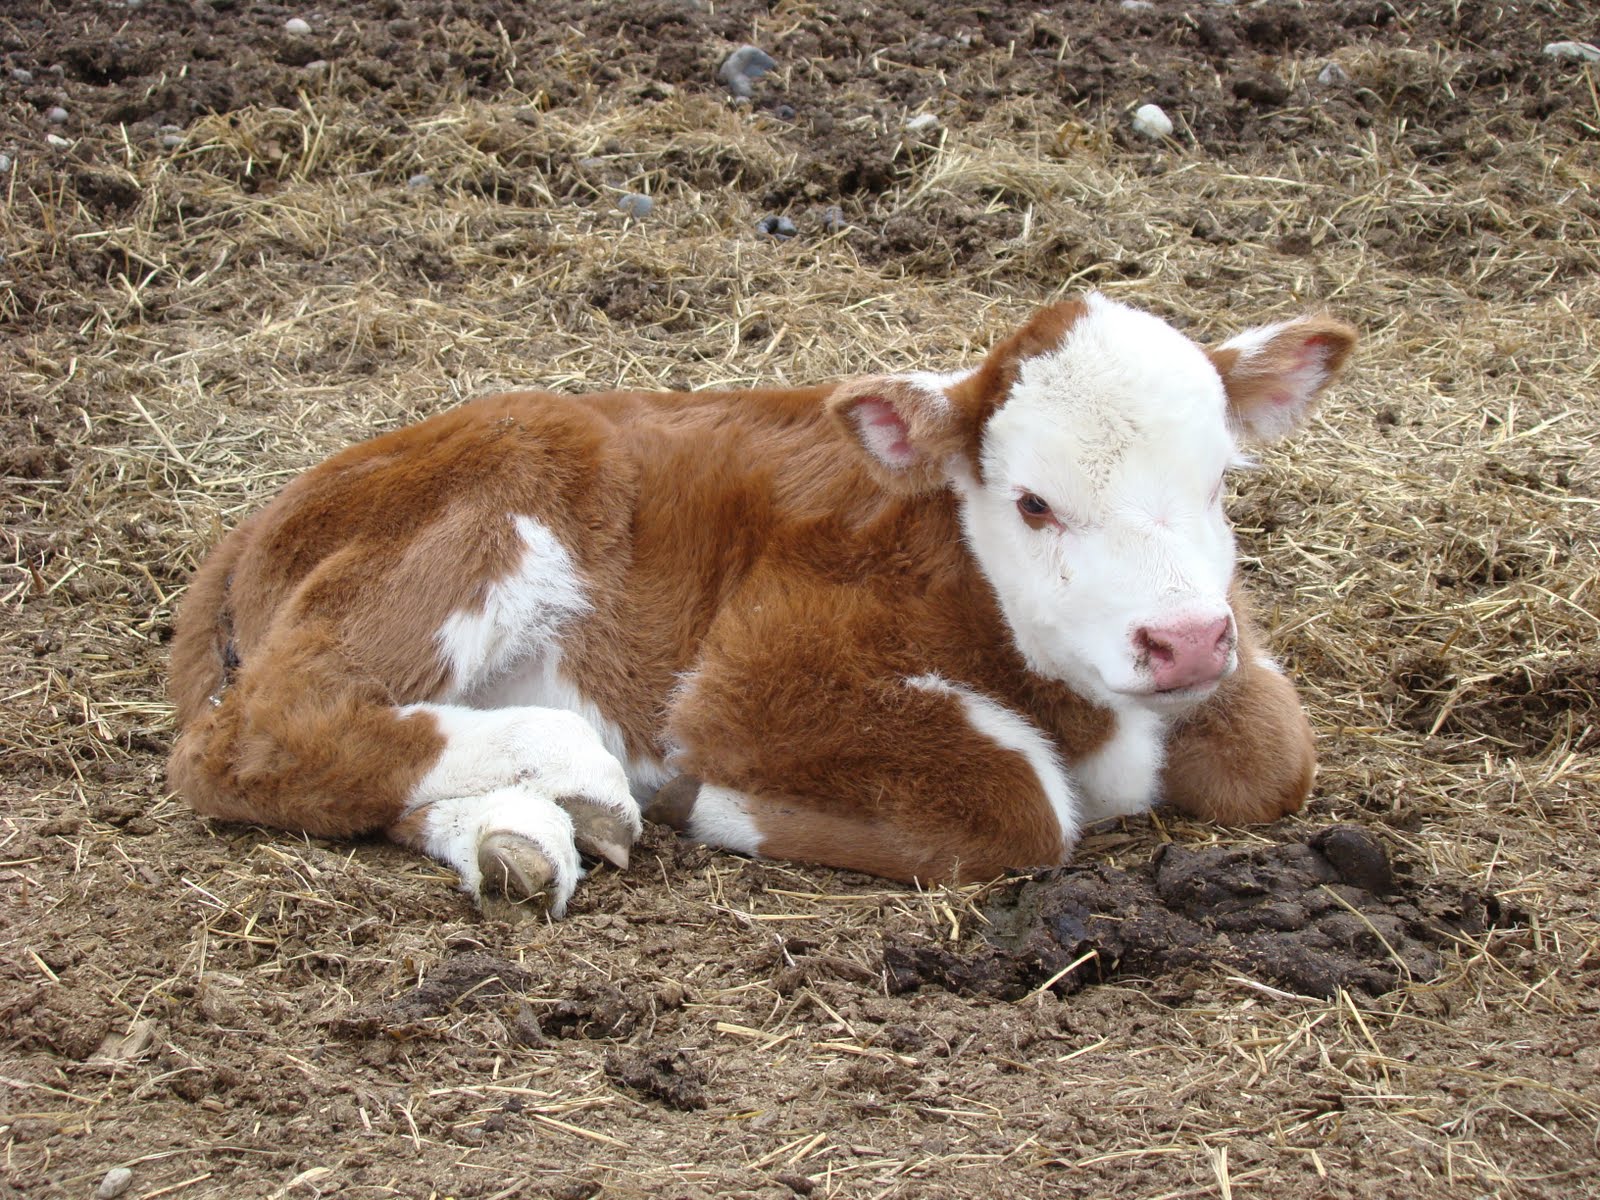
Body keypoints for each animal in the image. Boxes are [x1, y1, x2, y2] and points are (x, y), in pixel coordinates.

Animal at [168, 294, 1356, 916]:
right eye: (1032, 503)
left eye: (1218, 484)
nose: (1185, 639)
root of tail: (256, 519)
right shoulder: (752, 680)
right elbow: (1020, 802)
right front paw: (718, 806)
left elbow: (1276, 755)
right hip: (499, 490)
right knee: (260, 734)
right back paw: (575, 773)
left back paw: (521, 833)